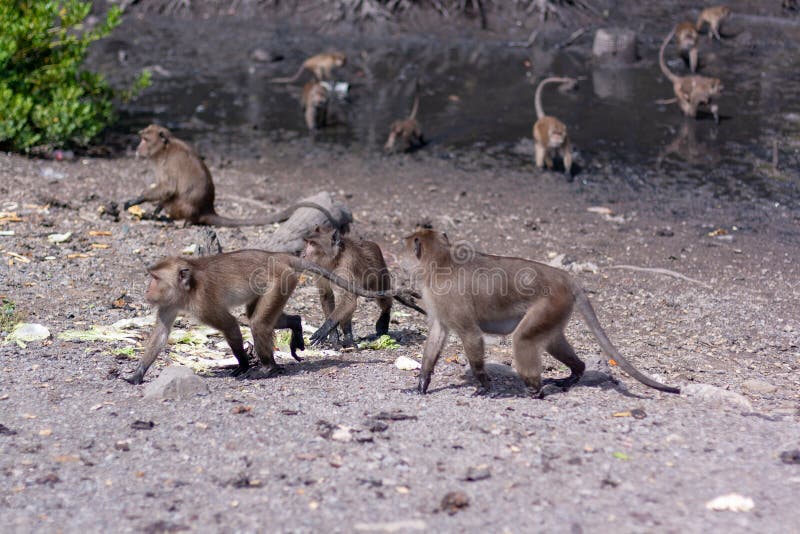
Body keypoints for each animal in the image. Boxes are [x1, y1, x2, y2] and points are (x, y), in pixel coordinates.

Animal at [124, 125, 343, 228]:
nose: (137, 148)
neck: (164, 149)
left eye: (145, 140)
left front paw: (138, 199)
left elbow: (169, 188)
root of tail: (206, 209)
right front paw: (154, 209)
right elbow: (166, 191)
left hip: (183, 208)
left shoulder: (167, 164)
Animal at [125, 250, 423, 384]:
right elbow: (160, 334)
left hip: (281, 279)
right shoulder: (169, 302)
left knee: (256, 322)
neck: (187, 288)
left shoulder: (203, 303)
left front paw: (244, 365)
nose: (147, 291)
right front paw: (137, 374)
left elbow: (230, 325)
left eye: (155, 279)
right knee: (258, 316)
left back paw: (267, 368)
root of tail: (281, 257)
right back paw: (295, 325)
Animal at [404, 227, 681, 397]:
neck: (441, 260)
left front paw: (483, 385)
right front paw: (422, 382)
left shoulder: (449, 299)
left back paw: (534, 390)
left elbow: (471, 336)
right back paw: (575, 372)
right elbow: (437, 335)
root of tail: (565, 277)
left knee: (523, 339)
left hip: (551, 303)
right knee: (551, 341)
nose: (403, 243)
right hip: (557, 309)